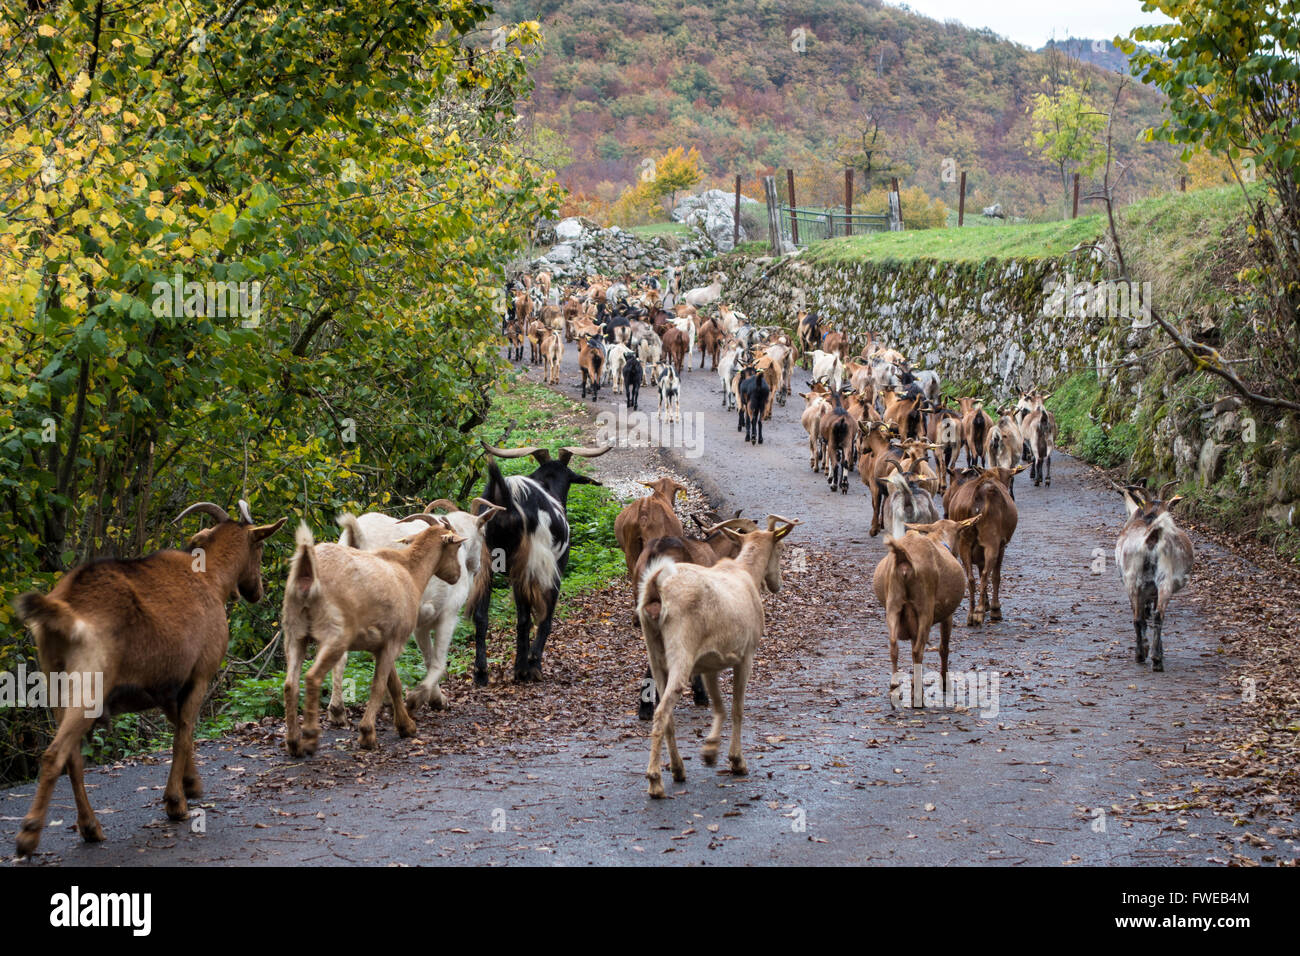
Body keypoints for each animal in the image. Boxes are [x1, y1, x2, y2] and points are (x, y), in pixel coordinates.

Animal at [12, 501, 286, 857]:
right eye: (261, 548)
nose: (257, 592)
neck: (212, 577)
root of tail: (65, 608)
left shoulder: (165, 686)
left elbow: (180, 728)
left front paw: (192, 784)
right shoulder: (200, 674)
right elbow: (184, 732)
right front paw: (176, 803)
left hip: (55, 684)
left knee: (72, 758)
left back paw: (90, 827)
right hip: (89, 686)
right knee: (54, 754)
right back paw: (29, 835)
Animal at [471, 442, 609, 683]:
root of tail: (504, 498)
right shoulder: (555, 570)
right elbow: (545, 617)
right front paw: (534, 663)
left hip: (485, 564)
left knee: (481, 616)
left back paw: (481, 673)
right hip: (527, 565)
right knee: (526, 618)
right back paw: (522, 669)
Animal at [637, 516, 799, 797]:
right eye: (780, 549)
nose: (777, 584)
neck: (745, 573)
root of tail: (657, 586)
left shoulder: (709, 664)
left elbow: (719, 705)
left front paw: (710, 750)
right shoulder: (746, 656)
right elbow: (737, 708)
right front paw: (737, 761)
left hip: (656, 654)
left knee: (664, 711)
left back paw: (678, 769)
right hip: (680, 651)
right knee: (662, 710)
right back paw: (655, 781)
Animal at [1115, 482, 1194, 672]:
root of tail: (1152, 537)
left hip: (1134, 581)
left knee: (1138, 619)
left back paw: (1143, 655)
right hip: (1163, 580)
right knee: (1157, 616)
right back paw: (1155, 658)